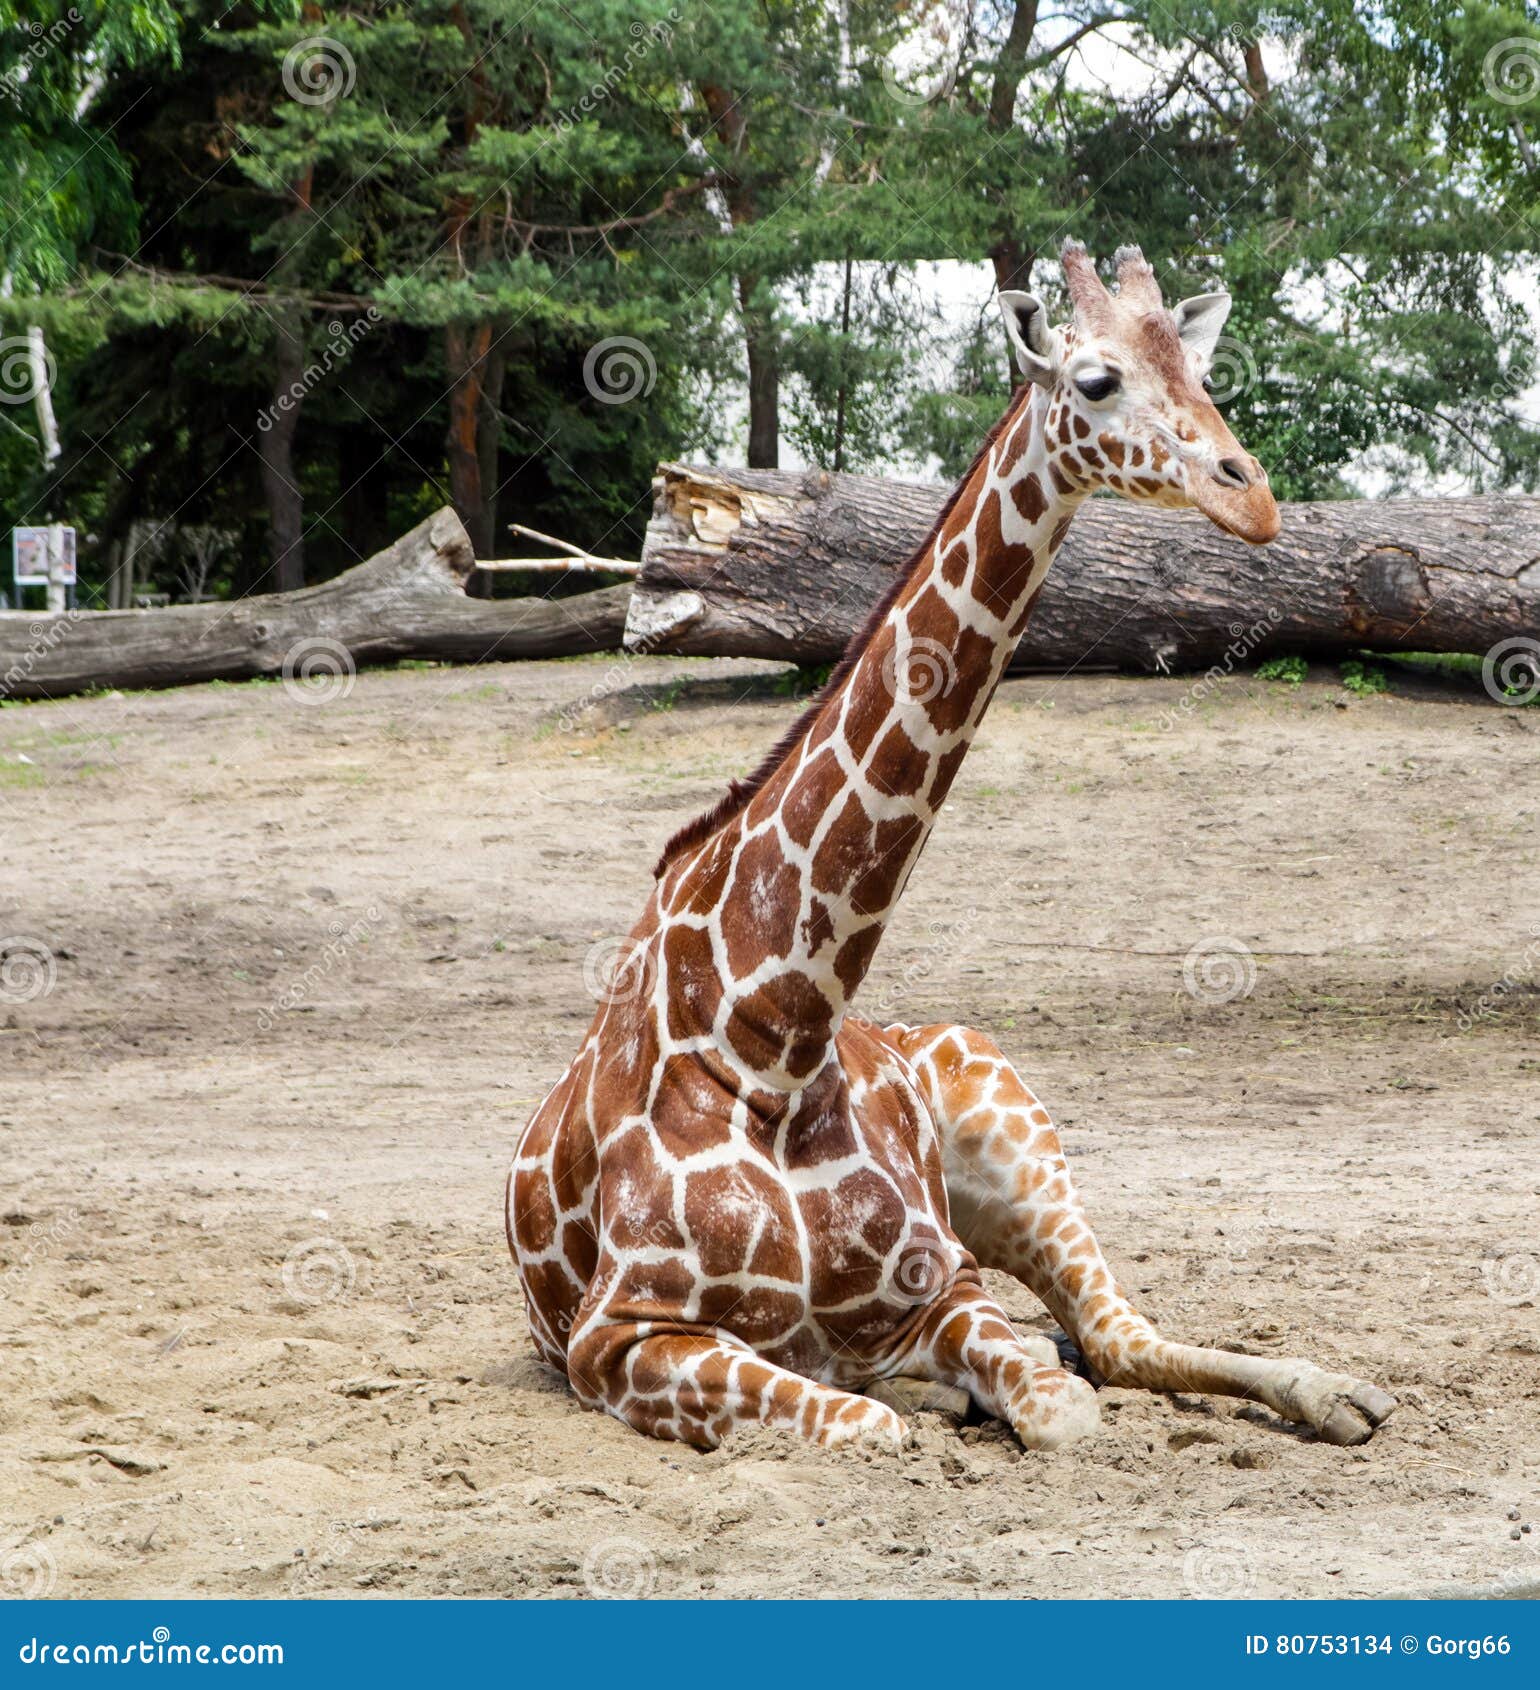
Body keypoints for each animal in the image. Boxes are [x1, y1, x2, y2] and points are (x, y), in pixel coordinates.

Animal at [507, 242, 1397, 1454]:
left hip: (1015, 1131)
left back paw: (1339, 1391)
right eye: (1096, 380)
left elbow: (1061, 1405)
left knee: (1114, 1335)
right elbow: (870, 1424)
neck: (773, 1033)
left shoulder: (947, 1281)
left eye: (1200, 368)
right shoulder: (618, 1337)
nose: (1249, 495)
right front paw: (915, 1398)